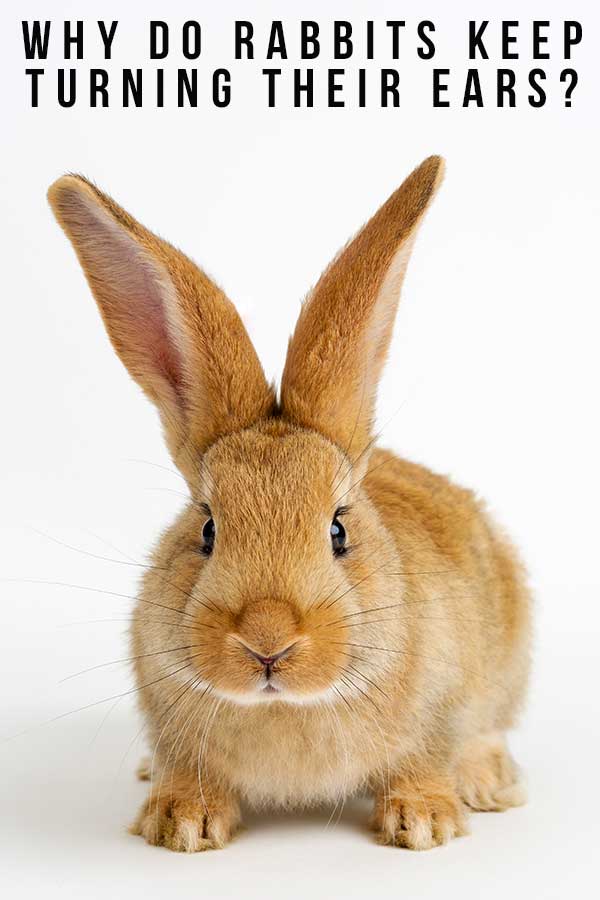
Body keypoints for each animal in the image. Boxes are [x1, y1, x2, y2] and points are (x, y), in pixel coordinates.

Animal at [47, 156, 531, 852]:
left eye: (338, 531)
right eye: (207, 529)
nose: (267, 641)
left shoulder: (440, 708)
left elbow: (424, 758)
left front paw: (425, 823)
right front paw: (180, 823)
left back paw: (489, 783)